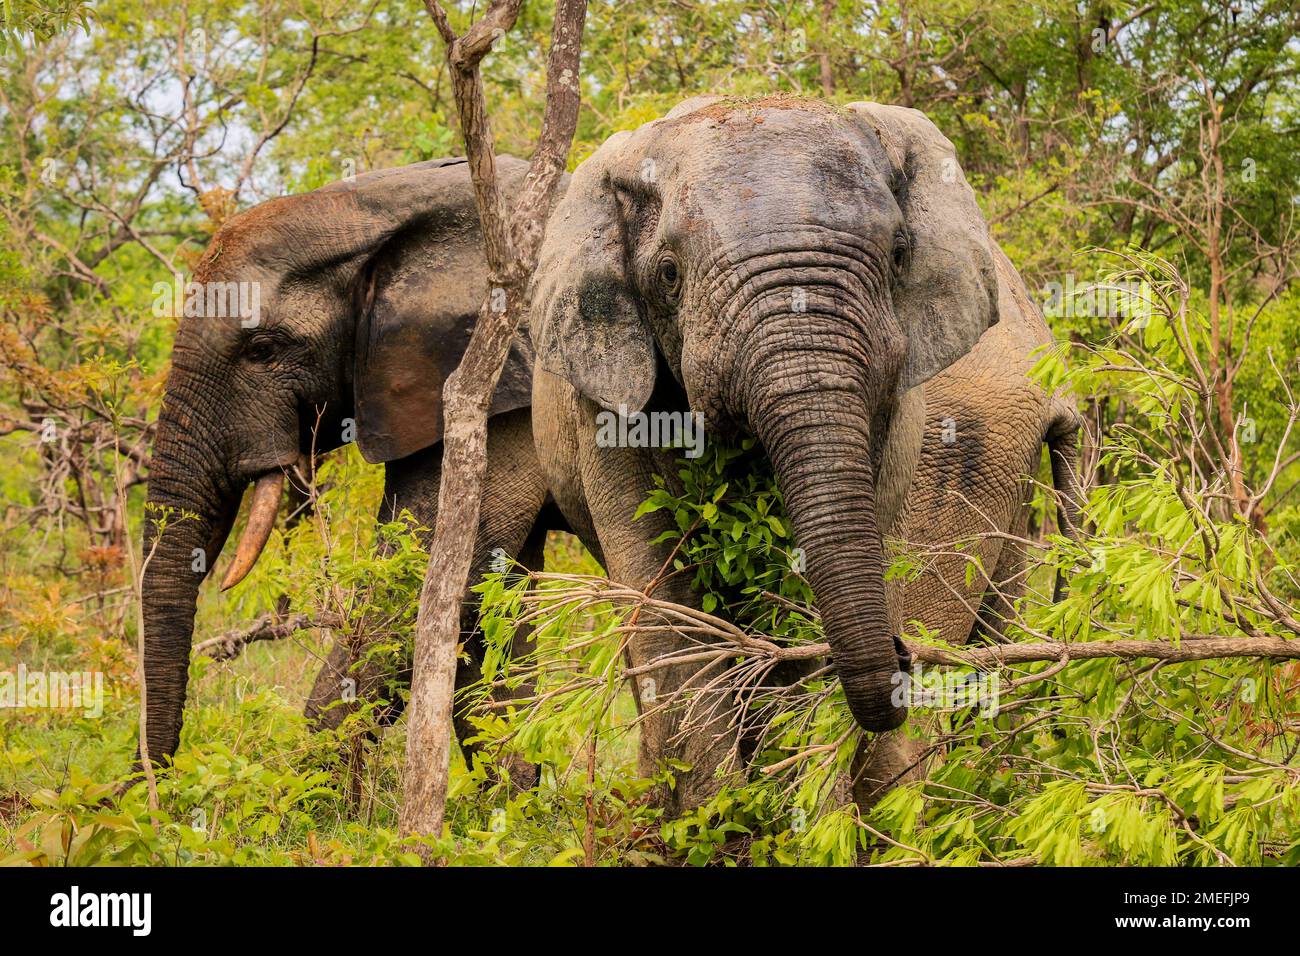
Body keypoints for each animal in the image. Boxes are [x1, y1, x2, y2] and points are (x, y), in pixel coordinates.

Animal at [139, 156, 564, 771]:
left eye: (263, 350)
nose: (153, 785)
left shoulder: (505, 388)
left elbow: (419, 586)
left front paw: (303, 795)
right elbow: (488, 616)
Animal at [527, 95, 1011, 810]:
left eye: (899, 253)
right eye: (668, 274)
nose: (901, 652)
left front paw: (783, 810)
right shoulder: (604, 401)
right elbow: (665, 601)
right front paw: (715, 818)